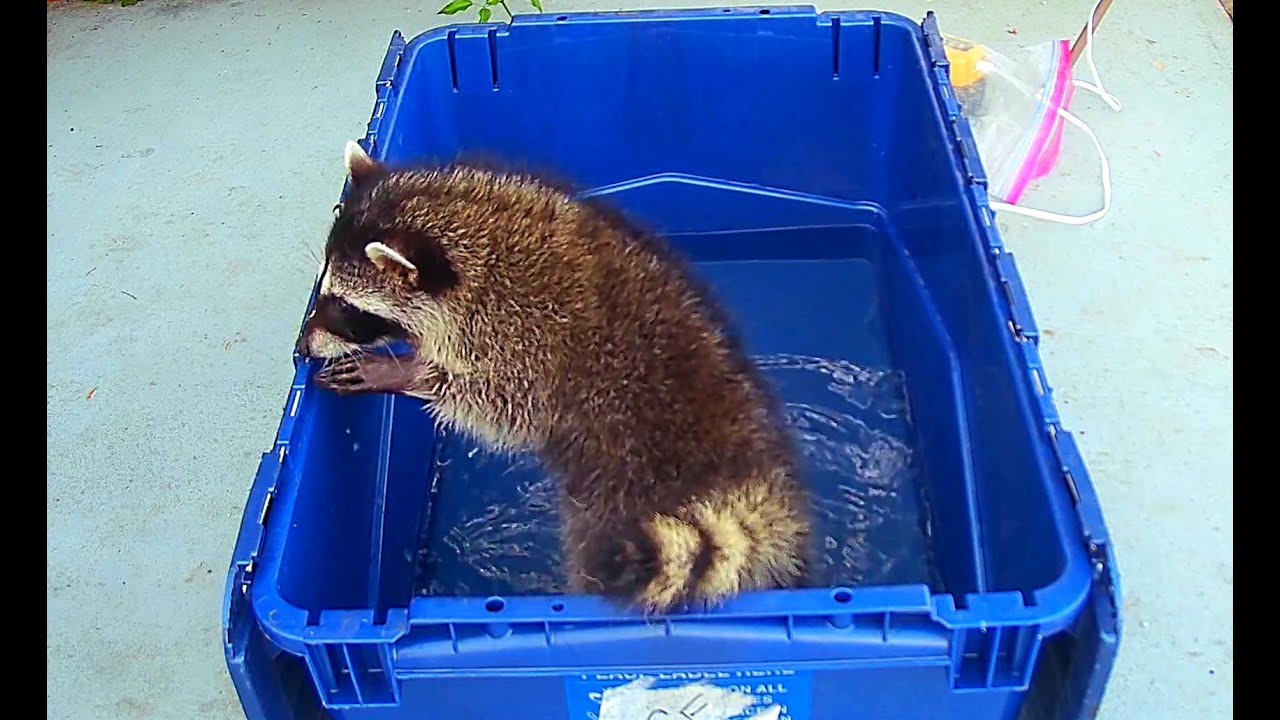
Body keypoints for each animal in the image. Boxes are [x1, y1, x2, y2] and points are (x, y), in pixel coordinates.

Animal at [295, 141, 810, 613]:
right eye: (323, 287)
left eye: (348, 308)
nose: (301, 348)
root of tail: (749, 490)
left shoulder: (521, 348)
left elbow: (498, 406)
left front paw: (407, 371)